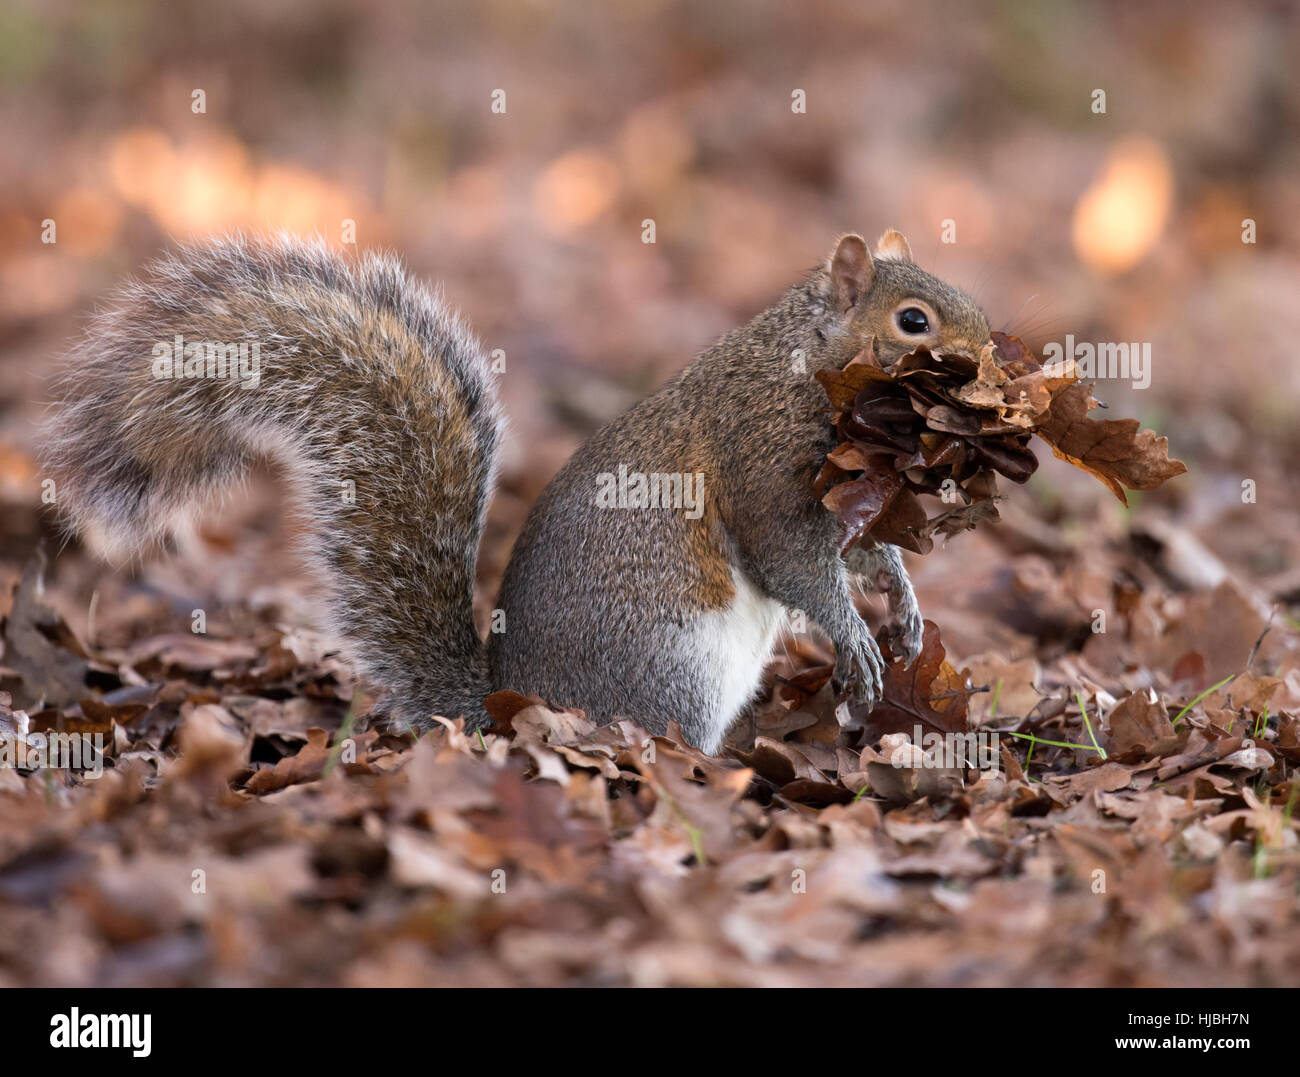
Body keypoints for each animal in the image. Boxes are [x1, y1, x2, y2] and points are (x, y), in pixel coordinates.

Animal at [43, 229, 992, 753]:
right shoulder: (761, 459)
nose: (990, 367)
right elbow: (793, 560)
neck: (806, 359)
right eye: (913, 321)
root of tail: (502, 710)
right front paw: (854, 635)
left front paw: (901, 600)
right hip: (674, 662)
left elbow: (859, 550)